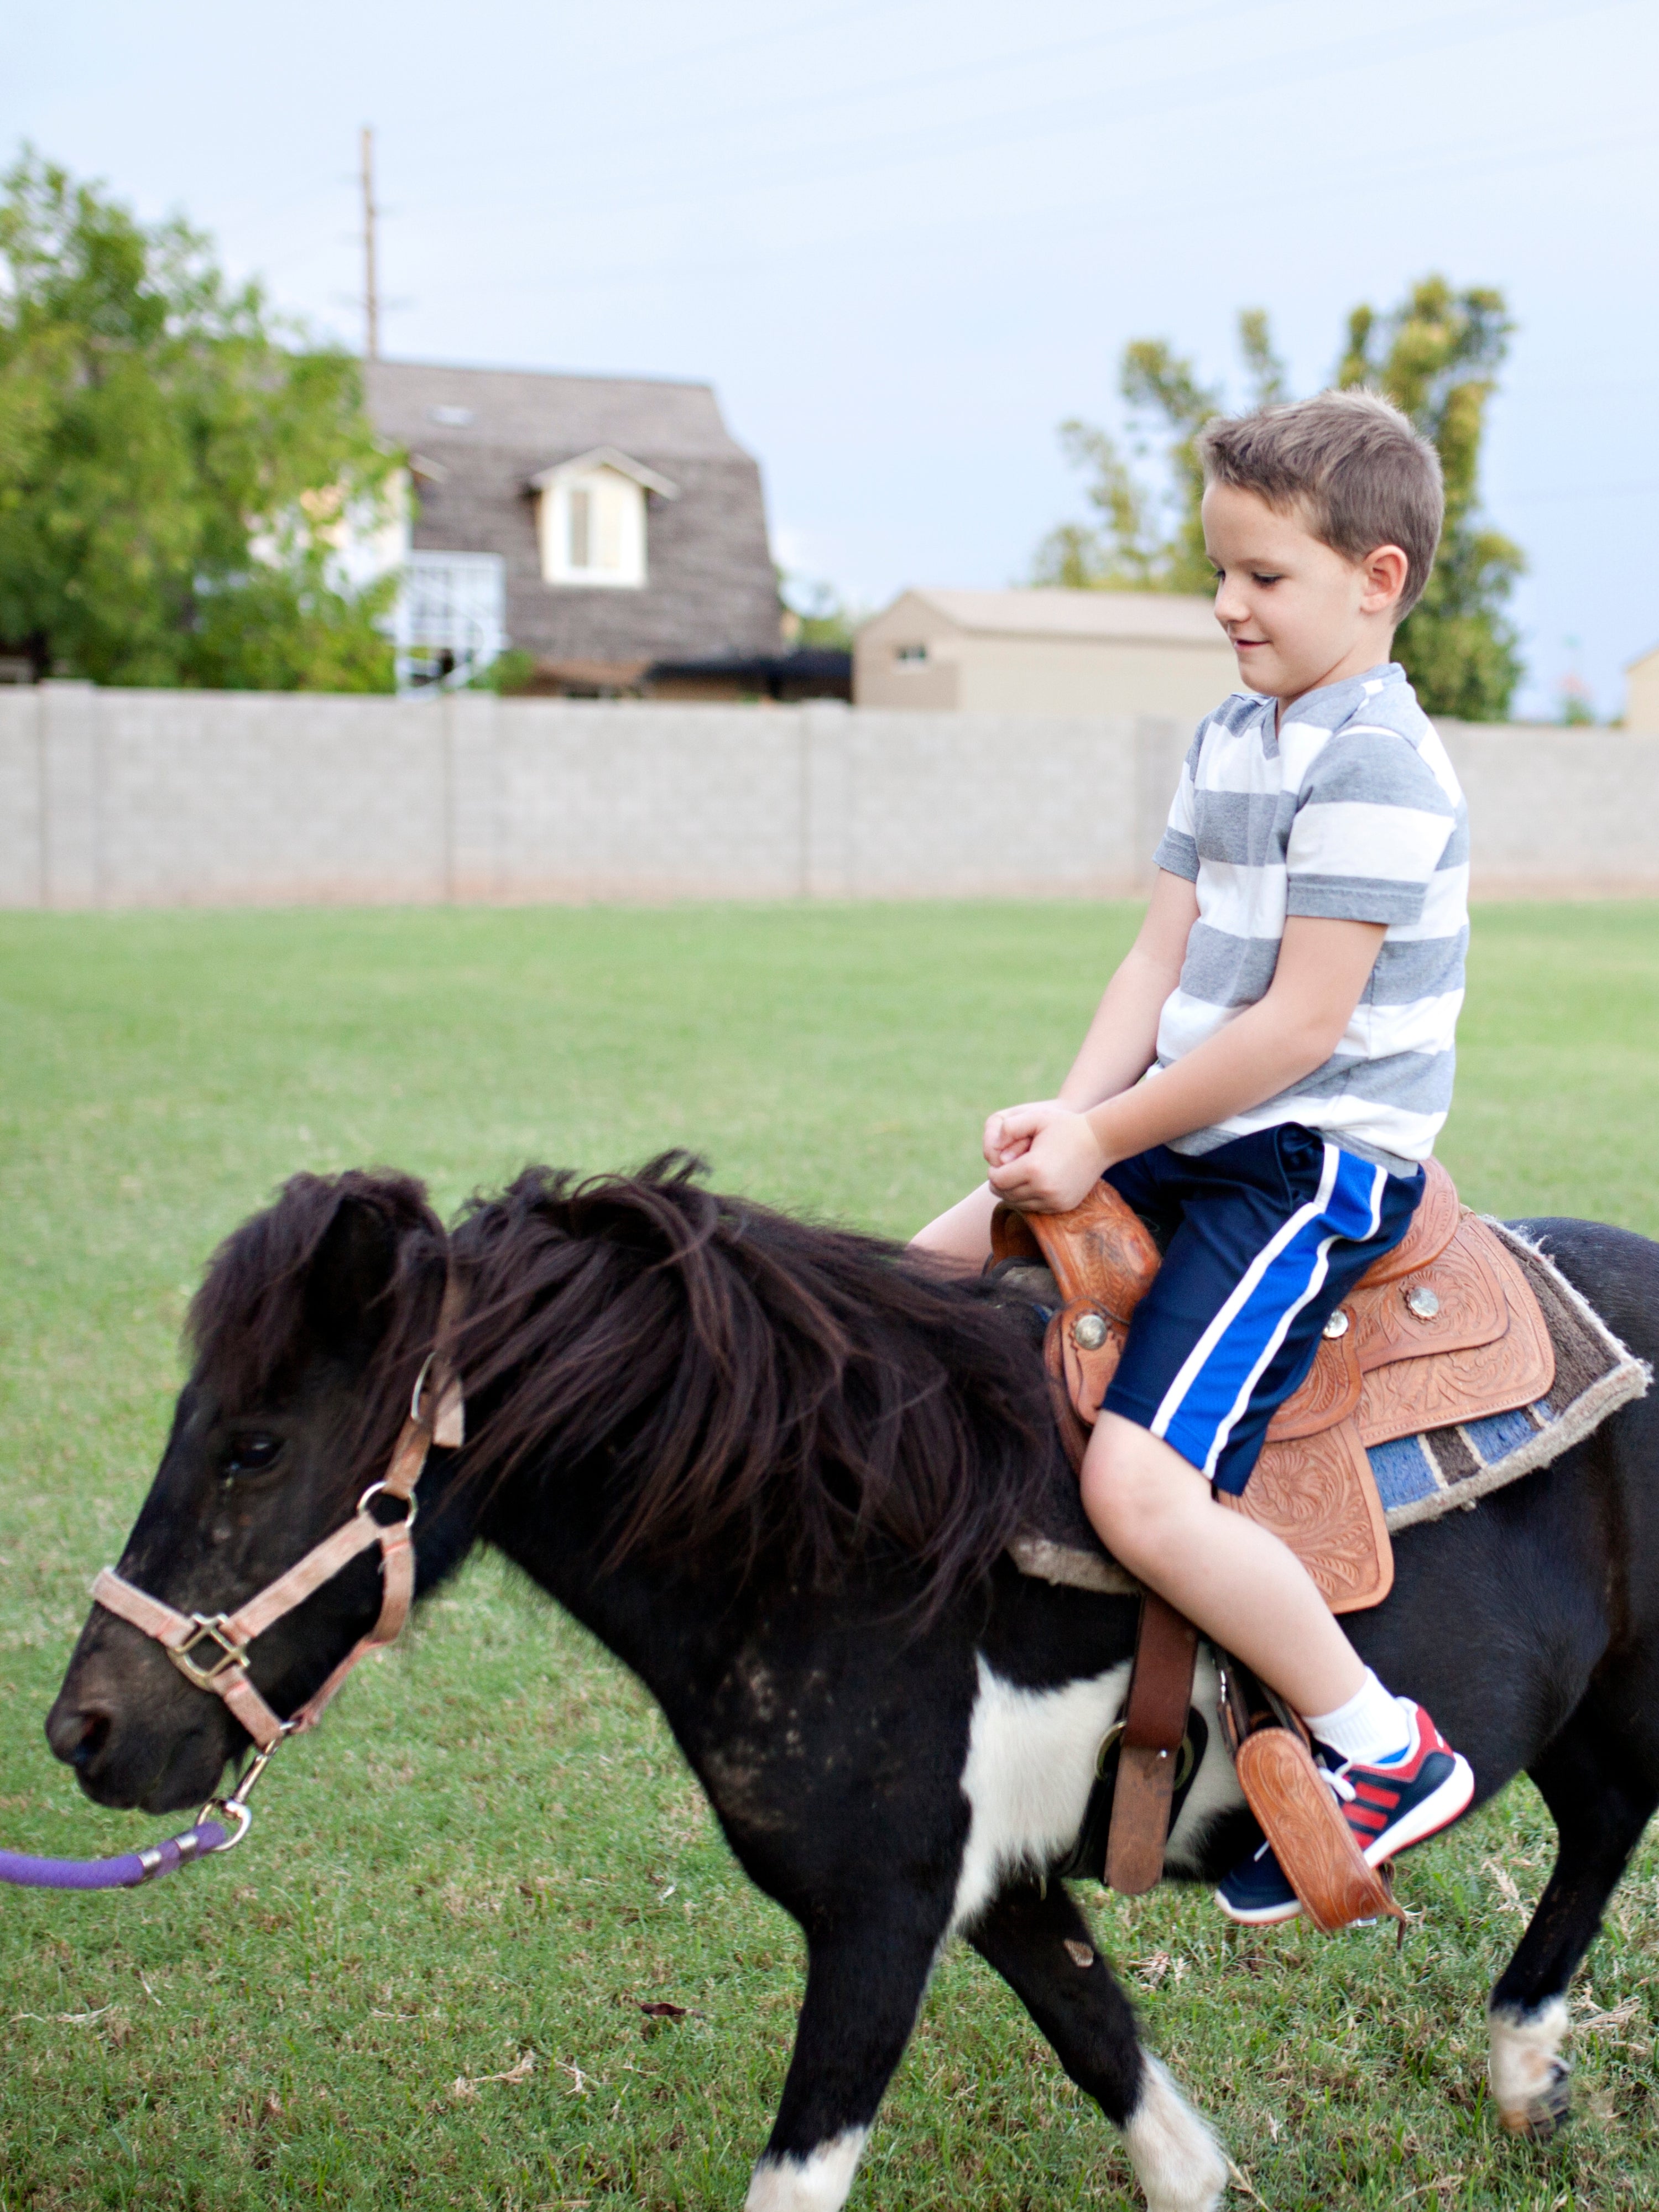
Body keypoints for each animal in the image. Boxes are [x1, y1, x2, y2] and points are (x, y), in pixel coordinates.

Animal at [44, 1156, 1659, 2212]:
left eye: (253, 1446)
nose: (85, 1730)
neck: (854, 1537)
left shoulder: (879, 1920)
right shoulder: (996, 1886)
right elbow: (1124, 2075)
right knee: (1600, 1819)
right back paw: (1523, 2069)